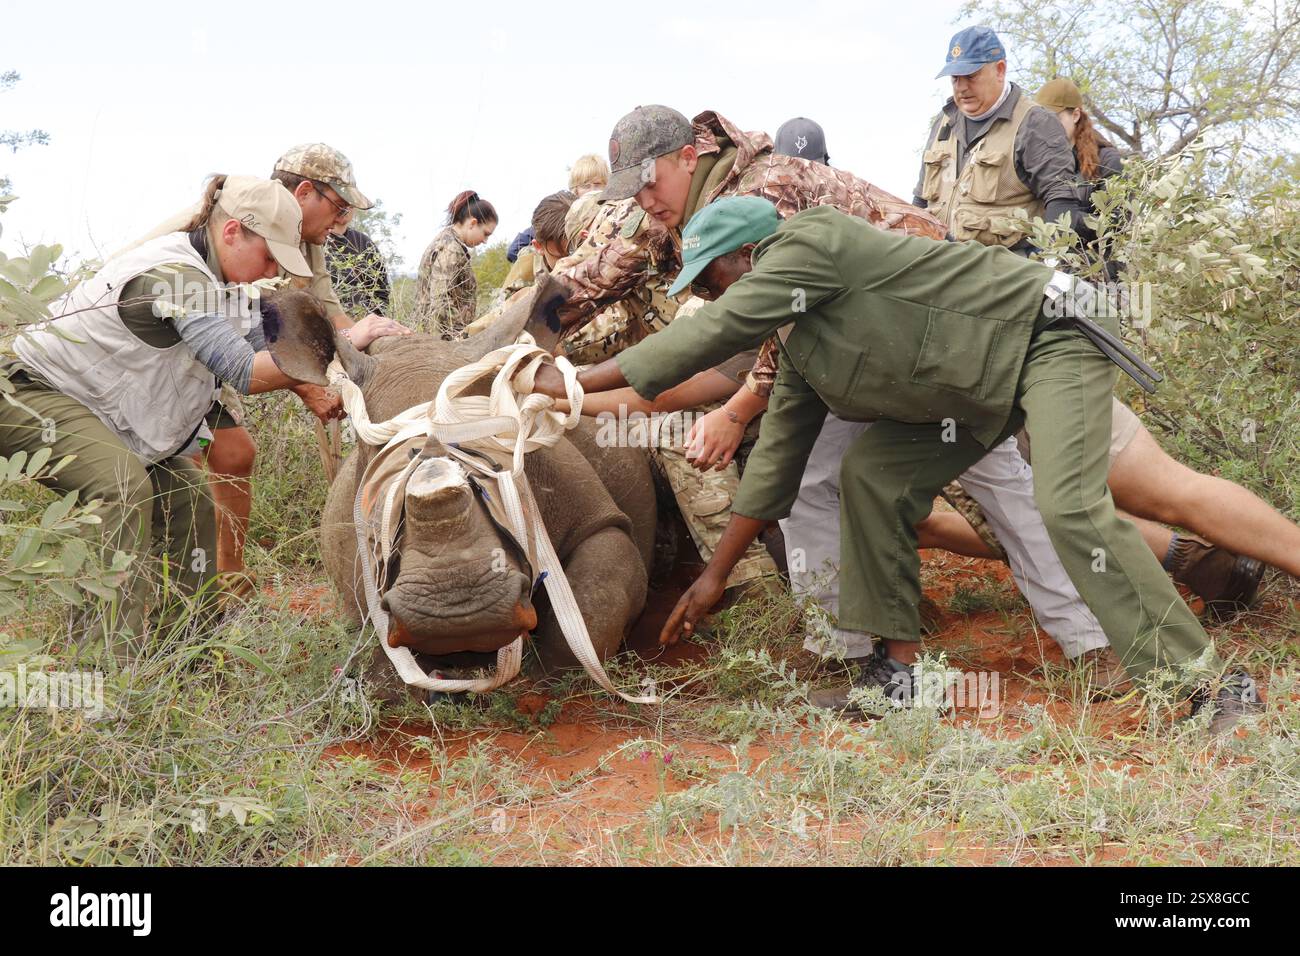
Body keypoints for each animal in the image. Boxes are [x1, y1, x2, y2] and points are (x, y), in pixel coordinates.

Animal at [264, 281, 656, 696]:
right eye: (379, 468)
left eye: (495, 451)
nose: (458, 607)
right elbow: (384, 655)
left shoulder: (597, 519)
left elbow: (593, 605)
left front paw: (533, 682)